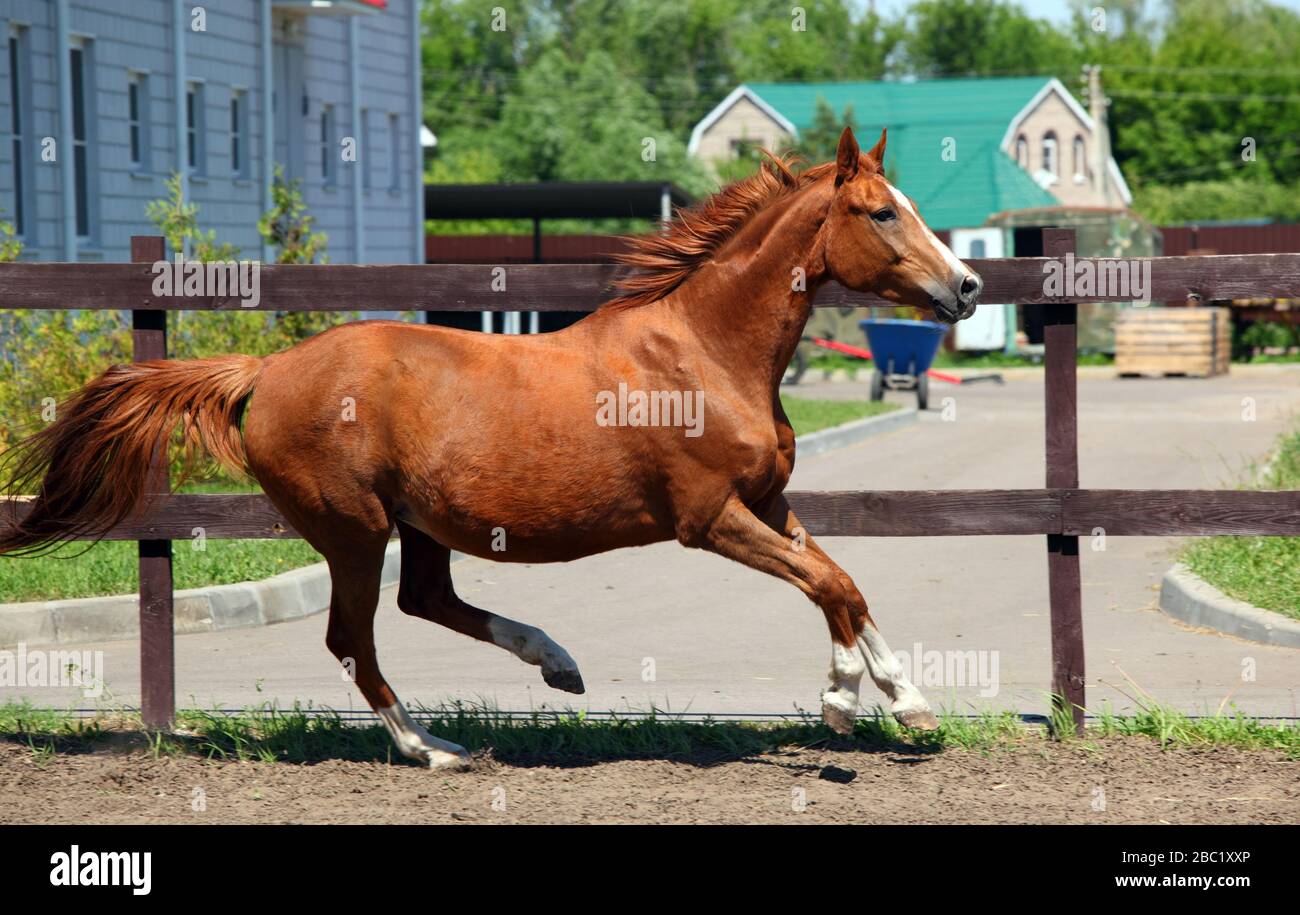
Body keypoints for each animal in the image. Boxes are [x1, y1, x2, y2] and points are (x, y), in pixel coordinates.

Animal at [0, 127, 981, 767]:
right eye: (879, 212)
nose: (967, 286)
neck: (704, 350)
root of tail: (267, 368)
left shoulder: (769, 501)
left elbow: (844, 581)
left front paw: (909, 701)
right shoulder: (710, 518)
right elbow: (827, 583)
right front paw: (844, 701)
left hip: (416, 523)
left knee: (424, 600)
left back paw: (555, 666)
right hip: (355, 529)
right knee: (354, 636)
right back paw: (430, 747)